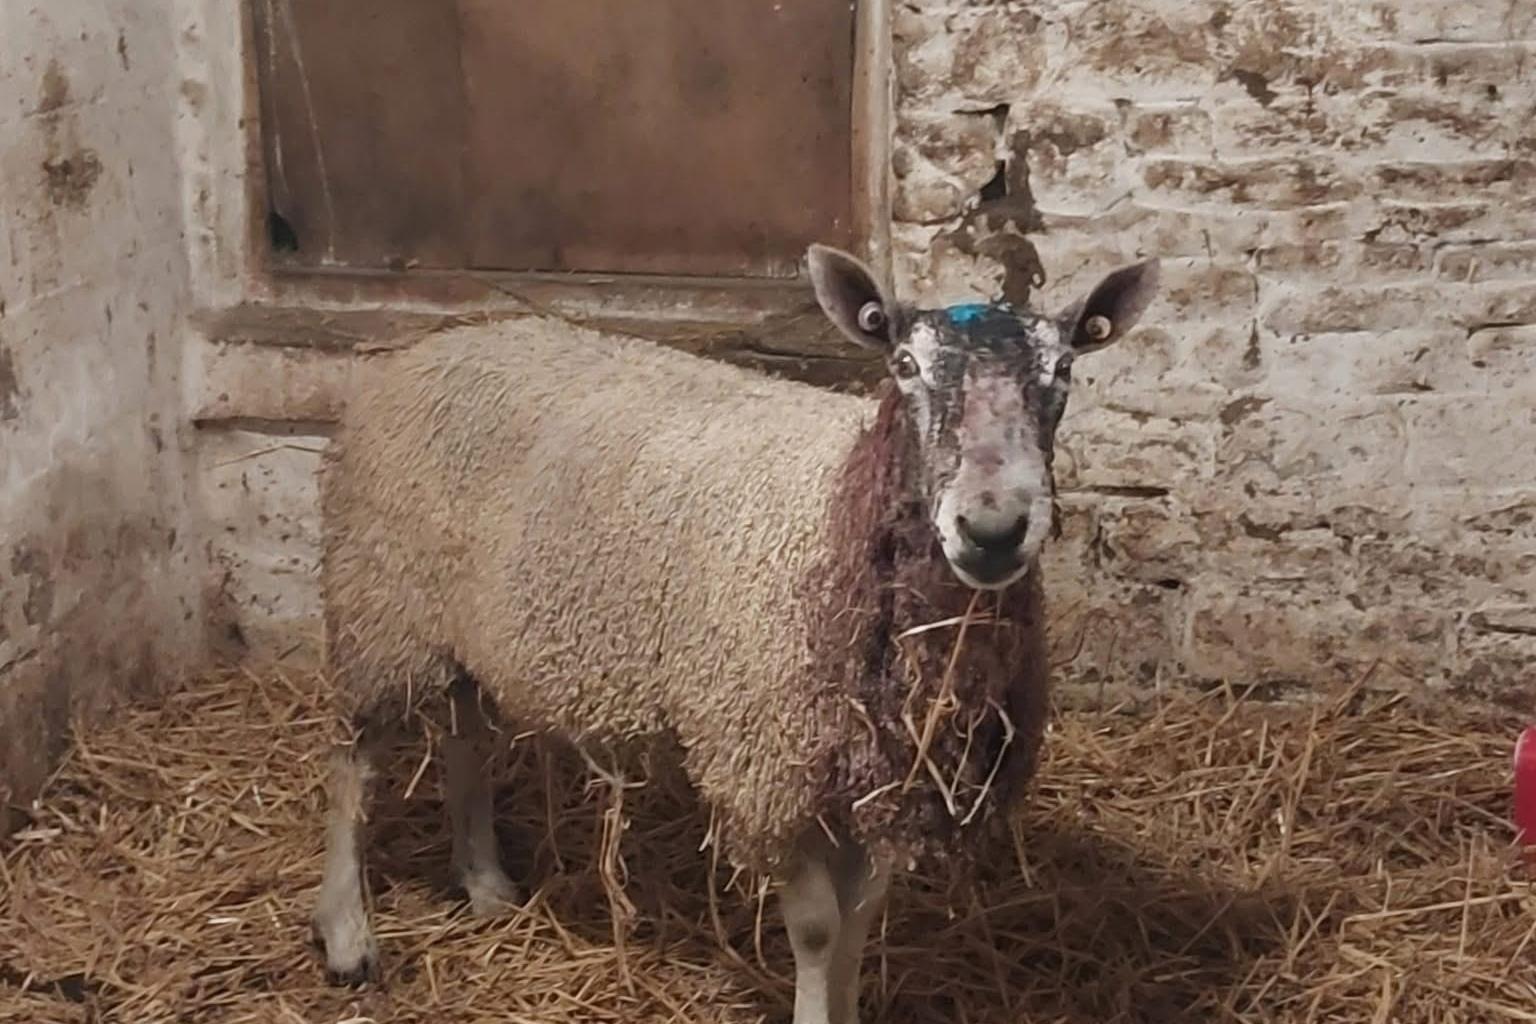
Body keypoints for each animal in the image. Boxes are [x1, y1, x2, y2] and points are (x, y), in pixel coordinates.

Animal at [310, 243, 1159, 1024]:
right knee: (352, 762)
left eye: (1064, 371)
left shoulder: (874, 775)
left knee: (465, 733)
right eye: (905, 365)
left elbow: (860, 922)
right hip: (378, 606)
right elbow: (818, 930)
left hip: (458, 627)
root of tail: (435, 344)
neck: (836, 511)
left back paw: (485, 883)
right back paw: (348, 936)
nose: (992, 530)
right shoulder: (764, 765)